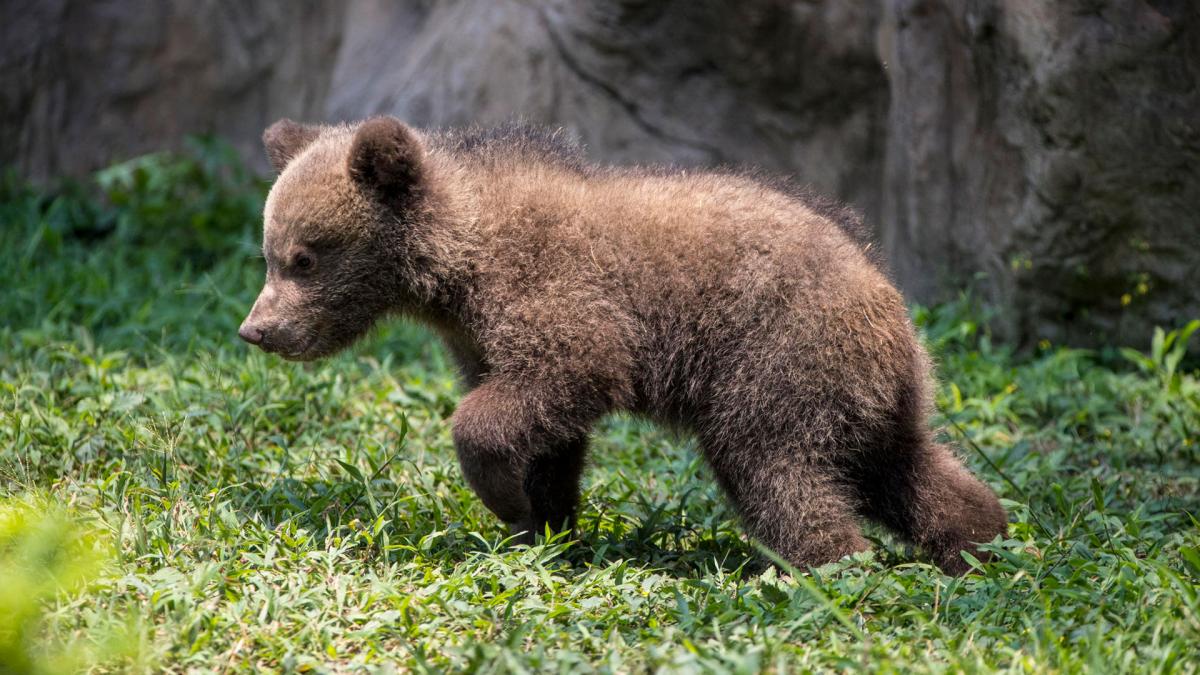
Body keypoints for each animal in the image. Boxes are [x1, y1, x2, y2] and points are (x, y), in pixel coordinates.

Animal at [239, 116, 1008, 575]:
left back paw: (829, 568)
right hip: (869, 394)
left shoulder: (563, 306)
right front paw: (543, 523)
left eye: (303, 258)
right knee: (907, 468)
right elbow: (549, 437)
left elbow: (532, 394)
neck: (455, 269)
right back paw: (982, 540)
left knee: (778, 474)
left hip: (777, 360)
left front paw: (502, 498)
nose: (258, 329)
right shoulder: (481, 343)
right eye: (270, 253)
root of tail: (889, 298)